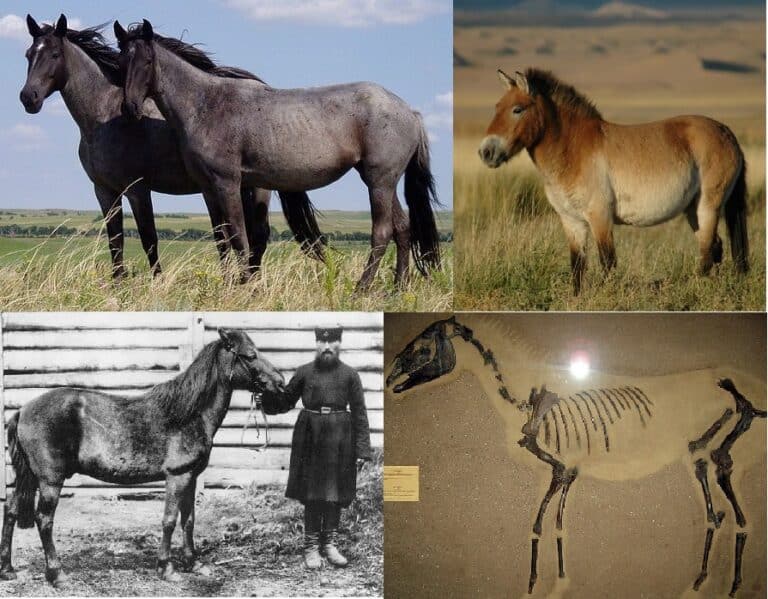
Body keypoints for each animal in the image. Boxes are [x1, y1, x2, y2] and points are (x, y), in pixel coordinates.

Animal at [0, 328, 286, 587]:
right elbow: (170, 521)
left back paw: (8, 570)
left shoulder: (191, 477)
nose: (281, 382)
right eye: (250, 355)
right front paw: (166, 568)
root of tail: (23, 411)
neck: (188, 415)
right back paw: (57, 575)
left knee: (11, 509)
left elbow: (189, 520)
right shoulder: (177, 476)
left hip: (29, 476)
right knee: (44, 520)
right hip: (50, 481)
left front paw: (193, 563)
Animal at [20, 14, 324, 281]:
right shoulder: (105, 191)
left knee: (257, 237)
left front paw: (155, 283)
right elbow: (115, 241)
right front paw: (117, 284)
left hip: (258, 187)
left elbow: (149, 238)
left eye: (55, 55)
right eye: (28, 54)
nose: (28, 97)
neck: (103, 118)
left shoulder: (138, 189)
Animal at [113, 19, 441, 291]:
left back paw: (362, 288)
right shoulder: (207, 188)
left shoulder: (228, 183)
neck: (206, 105)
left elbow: (239, 236)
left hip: (379, 182)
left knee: (382, 232)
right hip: (384, 181)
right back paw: (399, 287)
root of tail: (409, 112)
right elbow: (221, 238)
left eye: (148, 61)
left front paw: (245, 286)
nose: (130, 108)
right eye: (120, 62)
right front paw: (228, 284)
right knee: (403, 229)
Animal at [387, 315, 766, 597]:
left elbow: (538, 524)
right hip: (698, 453)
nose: (391, 380)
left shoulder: (558, 467)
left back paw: (732, 585)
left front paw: (533, 583)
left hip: (715, 449)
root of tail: (733, 390)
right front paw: (559, 580)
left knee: (730, 497)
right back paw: (702, 581)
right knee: (714, 513)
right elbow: (557, 525)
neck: (525, 396)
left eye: (422, 348)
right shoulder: (568, 469)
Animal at [478, 68, 749, 295]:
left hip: (708, 206)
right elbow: (577, 265)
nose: (486, 152)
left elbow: (607, 262)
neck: (572, 149)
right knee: (714, 247)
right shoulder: (571, 221)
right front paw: (577, 299)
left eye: (517, 109)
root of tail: (727, 133)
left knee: (708, 252)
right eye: (496, 107)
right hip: (692, 209)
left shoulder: (600, 217)